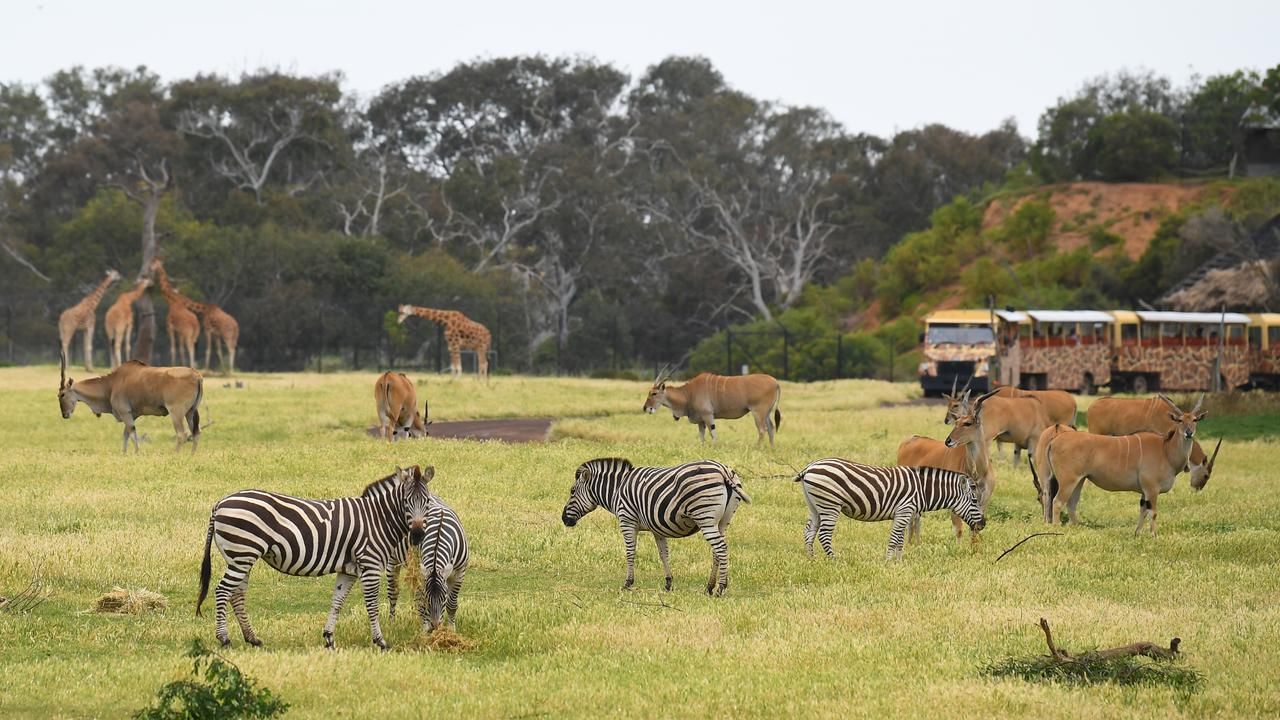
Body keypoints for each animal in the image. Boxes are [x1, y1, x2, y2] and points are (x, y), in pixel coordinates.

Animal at [196, 465, 433, 650]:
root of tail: (219, 504)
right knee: (222, 591)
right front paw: (380, 641)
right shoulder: (370, 565)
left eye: (427, 502)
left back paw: (252, 638)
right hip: (242, 554)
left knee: (237, 595)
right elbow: (372, 604)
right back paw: (224, 638)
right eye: (406, 501)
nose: (418, 535)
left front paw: (329, 638)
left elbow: (337, 602)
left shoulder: (348, 570)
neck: (378, 518)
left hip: (241, 557)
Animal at [387, 495, 468, 632]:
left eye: (443, 598)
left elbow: (452, 604)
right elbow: (421, 603)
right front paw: (425, 630)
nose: (435, 627)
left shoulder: (460, 571)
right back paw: (391, 624)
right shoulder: (421, 574)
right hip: (393, 561)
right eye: (427, 599)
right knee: (393, 592)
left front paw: (451, 629)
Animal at [561, 458, 750, 596]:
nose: (564, 519)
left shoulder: (627, 520)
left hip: (705, 517)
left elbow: (630, 552)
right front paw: (668, 583)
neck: (616, 490)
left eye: (572, 491)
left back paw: (720, 587)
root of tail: (723, 470)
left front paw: (628, 583)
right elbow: (663, 554)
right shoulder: (657, 528)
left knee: (721, 548)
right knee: (717, 551)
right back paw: (709, 586)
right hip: (722, 521)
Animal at [795, 459, 985, 560]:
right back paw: (835, 561)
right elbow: (894, 539)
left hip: (815, 506)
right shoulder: (904, 510)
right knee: (824, 535)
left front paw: (898, 563)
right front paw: (888, 563)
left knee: (809, 532)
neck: (923, 490)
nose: (983, 524)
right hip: (830, 505)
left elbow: (900, 541)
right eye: (975, 500)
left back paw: (812, 559)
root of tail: (809, 468)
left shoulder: (904, 514)